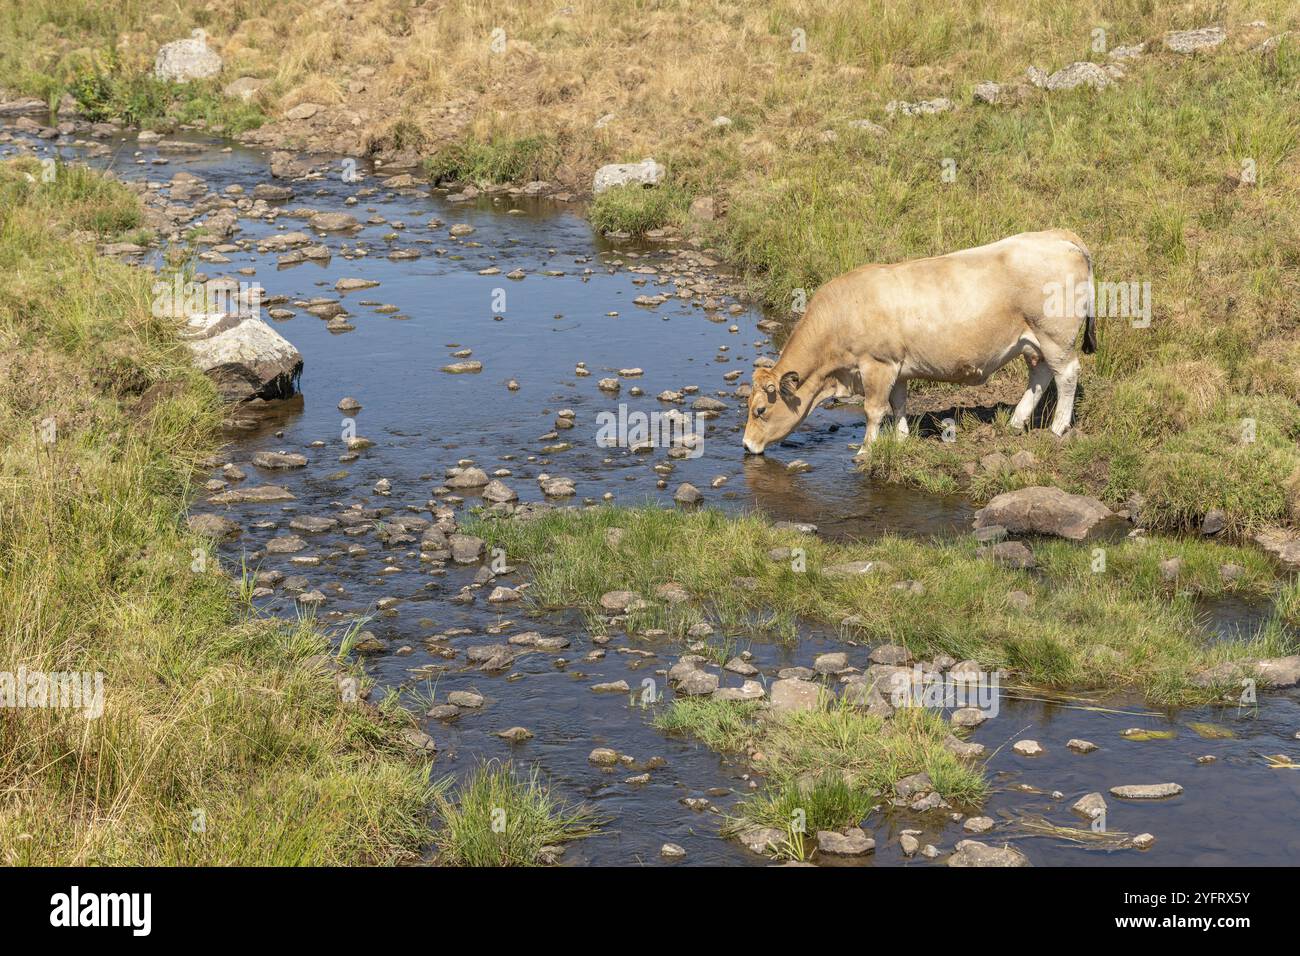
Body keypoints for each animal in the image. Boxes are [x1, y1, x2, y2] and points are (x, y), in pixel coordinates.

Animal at [742, 229, 1095, 456]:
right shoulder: (897, 367)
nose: (746, 445)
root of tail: (1060, 235)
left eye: (760, 410)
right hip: (1034, 343)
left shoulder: (876, 364)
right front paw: (900, 438)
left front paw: (865, 450)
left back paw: (1058, 427)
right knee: (1040, 375)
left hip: (1056, 337)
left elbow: (873, 409)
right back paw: (1016, 422)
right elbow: (898, 403)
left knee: (1067, 375)